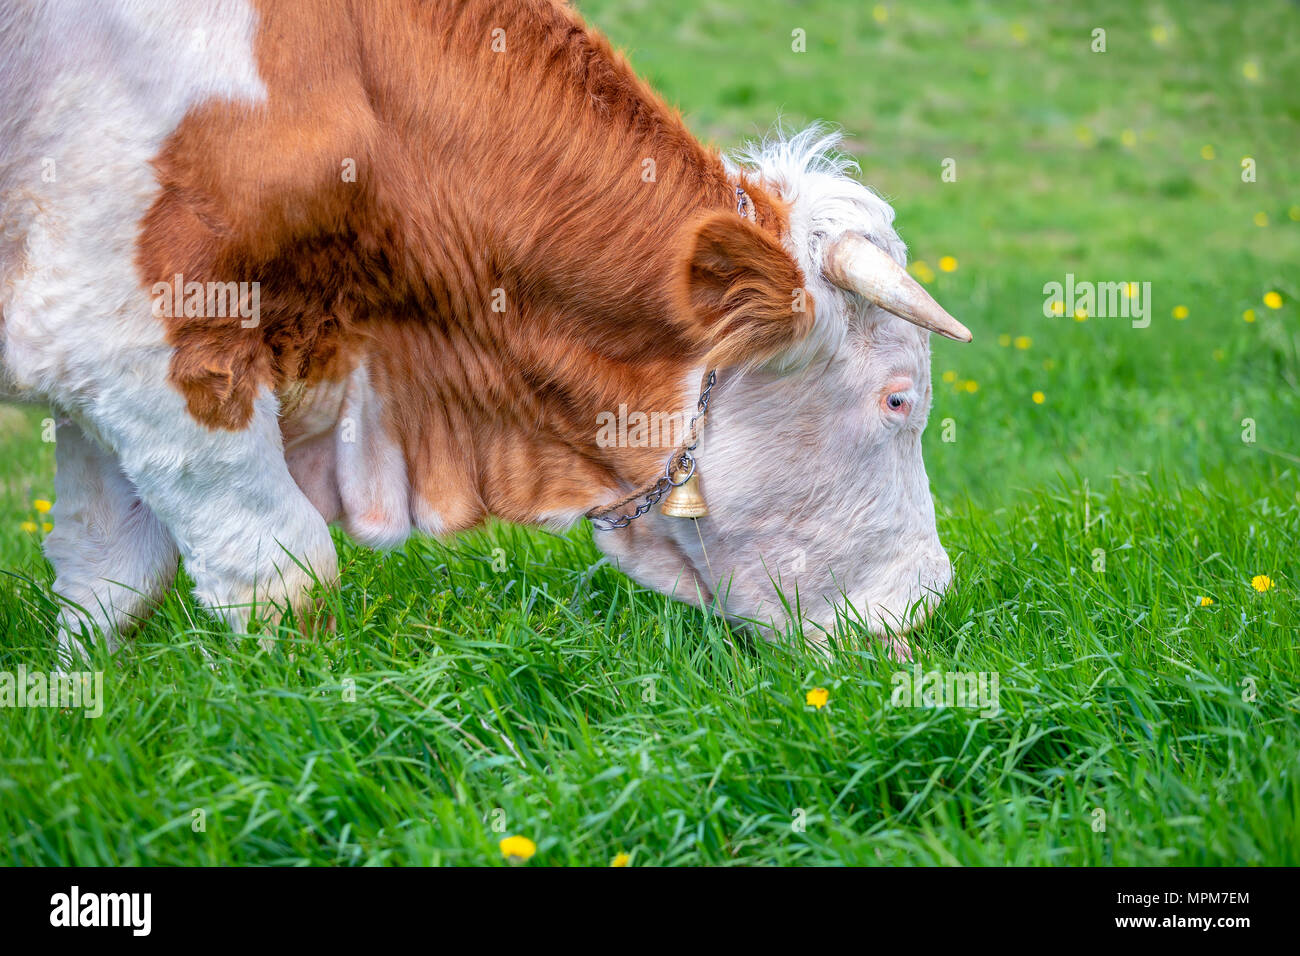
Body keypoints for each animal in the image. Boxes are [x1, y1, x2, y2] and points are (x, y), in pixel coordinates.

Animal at [0, 0, 970, 663]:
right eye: (897, 400)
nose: (926, 602)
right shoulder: (146, 334)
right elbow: (284, 579)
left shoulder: (92, 364)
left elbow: (108, 576)